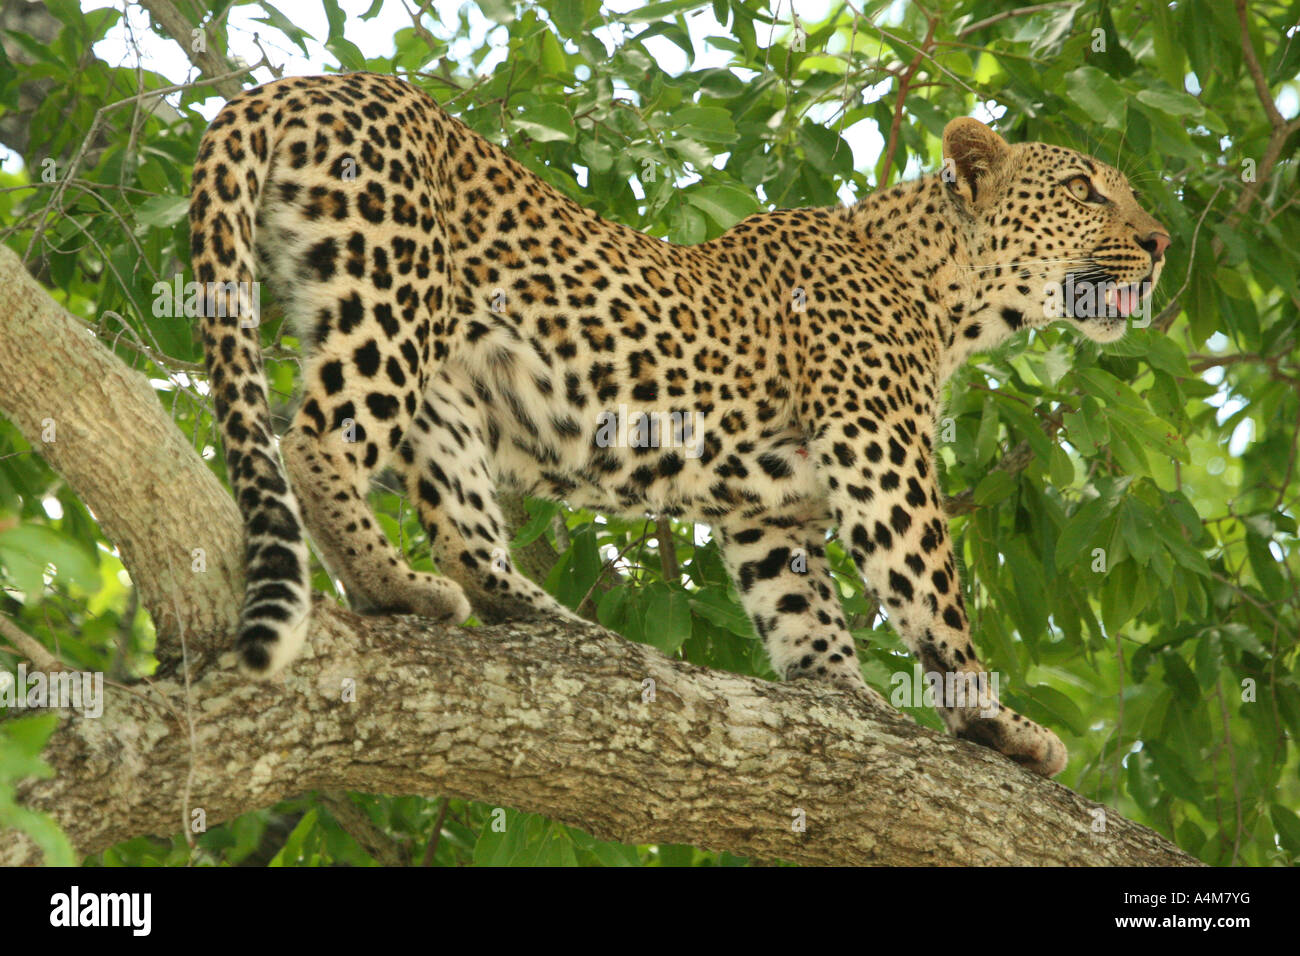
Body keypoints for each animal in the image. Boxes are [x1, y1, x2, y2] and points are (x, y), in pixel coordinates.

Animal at [189, 71, 1169, 778]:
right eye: (1084, 190)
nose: (1161, 244)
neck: (949, 297)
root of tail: (295, 87)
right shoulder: (879, 448)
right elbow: (932, 590)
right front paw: (995, 721)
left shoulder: (771, 513)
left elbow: (805, 617)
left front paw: (848, 696)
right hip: (392, 294)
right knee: (313, 439)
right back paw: (396, 583)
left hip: (450, 382)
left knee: (463, 529)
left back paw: (546, 621)